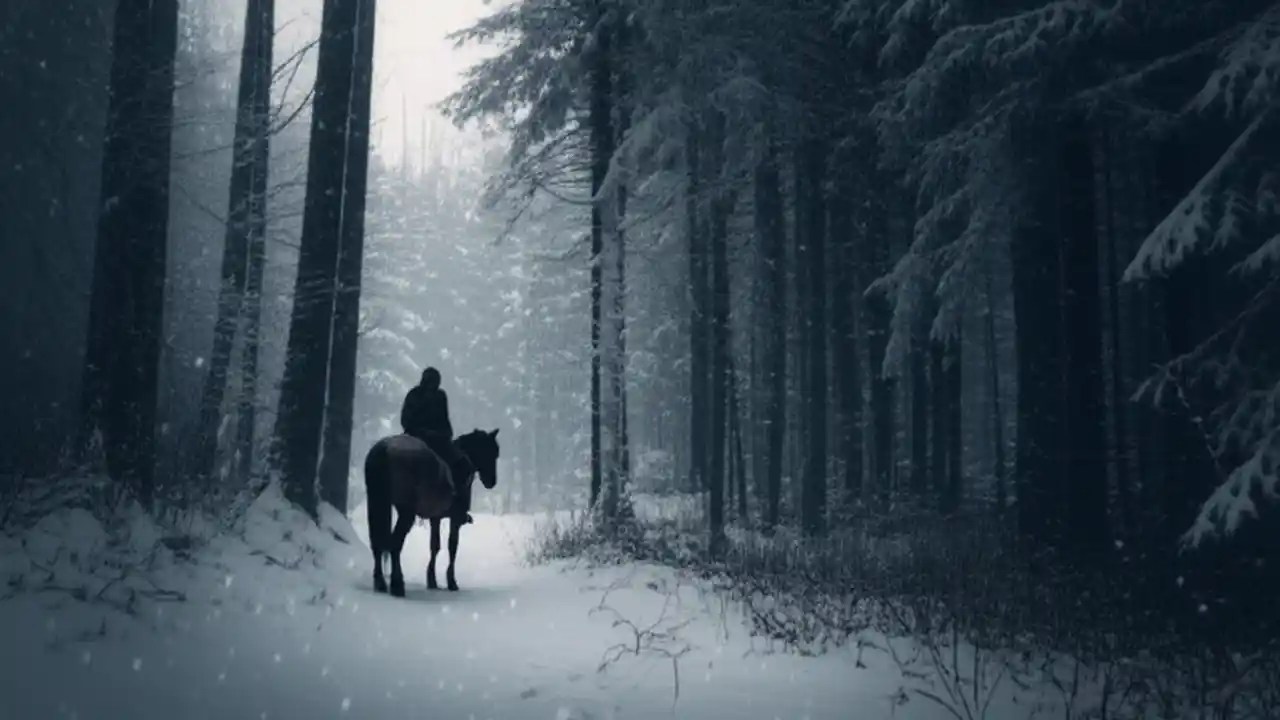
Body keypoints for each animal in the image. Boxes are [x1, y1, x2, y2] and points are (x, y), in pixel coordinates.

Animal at [363, 428, 500, 596]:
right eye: (491, 452)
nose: (492, 481)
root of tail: (385, 448)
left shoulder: (436, 518)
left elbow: (435, 545)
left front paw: (432, 580)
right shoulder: (455, 519)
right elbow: (452, 546)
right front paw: (451, 582)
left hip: (376, 503)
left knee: (377, 542)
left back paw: (380, 583)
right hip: (406, 512)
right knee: (395, 543)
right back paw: (397, 585)